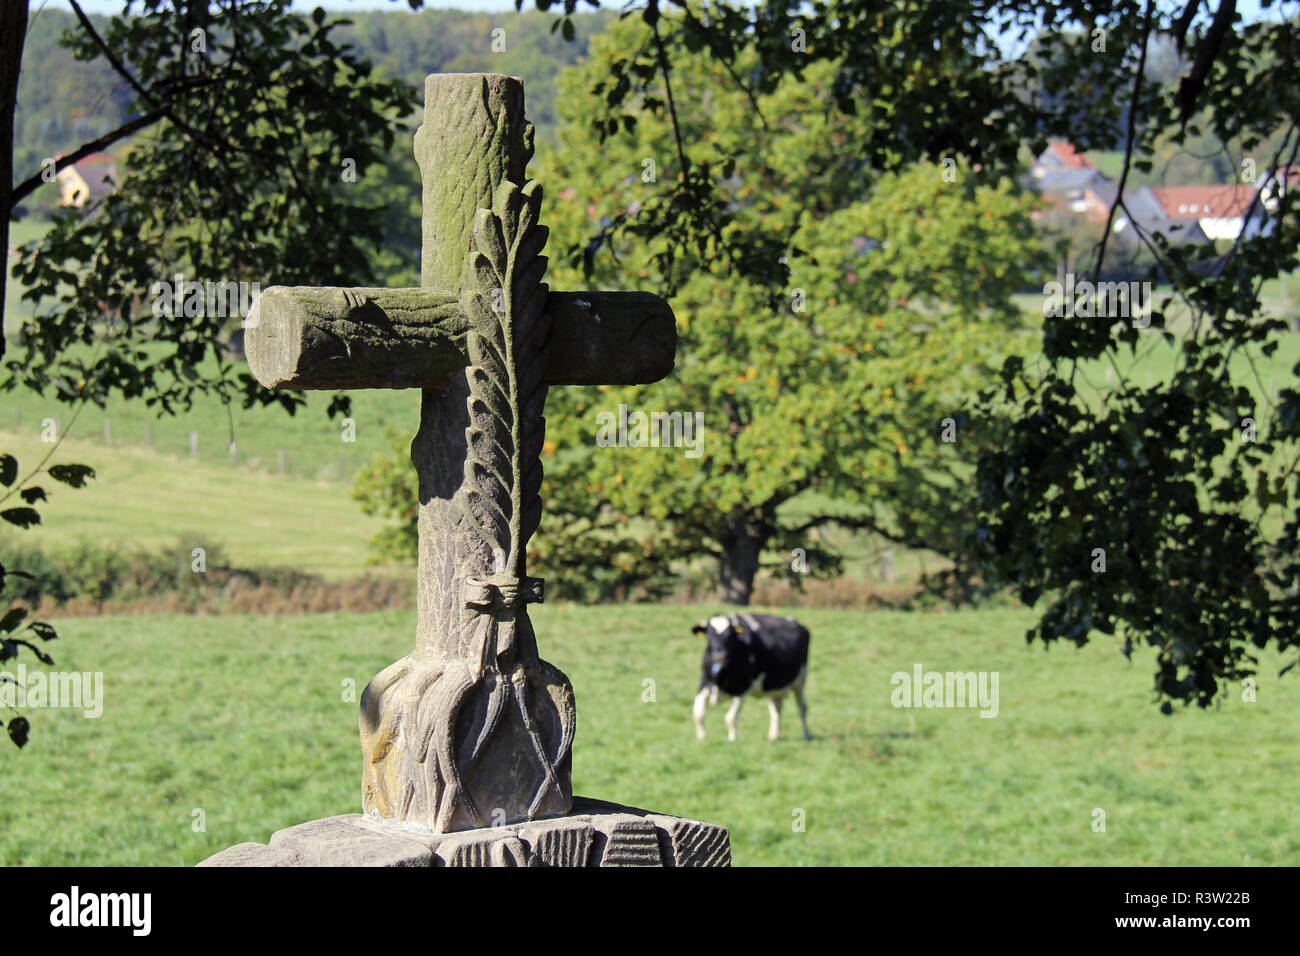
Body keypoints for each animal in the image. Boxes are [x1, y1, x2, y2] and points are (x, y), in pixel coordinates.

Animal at [692, 612, 811, 742]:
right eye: (708, 635)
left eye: (729, 635)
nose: (719, 655)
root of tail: (796, 622)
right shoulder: (704, 683)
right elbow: (698, 714)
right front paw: (702, 738)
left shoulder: (742, 688)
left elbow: (731, 719)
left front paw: (731, 741)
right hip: (775, 685)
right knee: (776, 709)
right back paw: (774, 736)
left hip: (800, 680)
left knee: (802, 708)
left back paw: (807, 736)